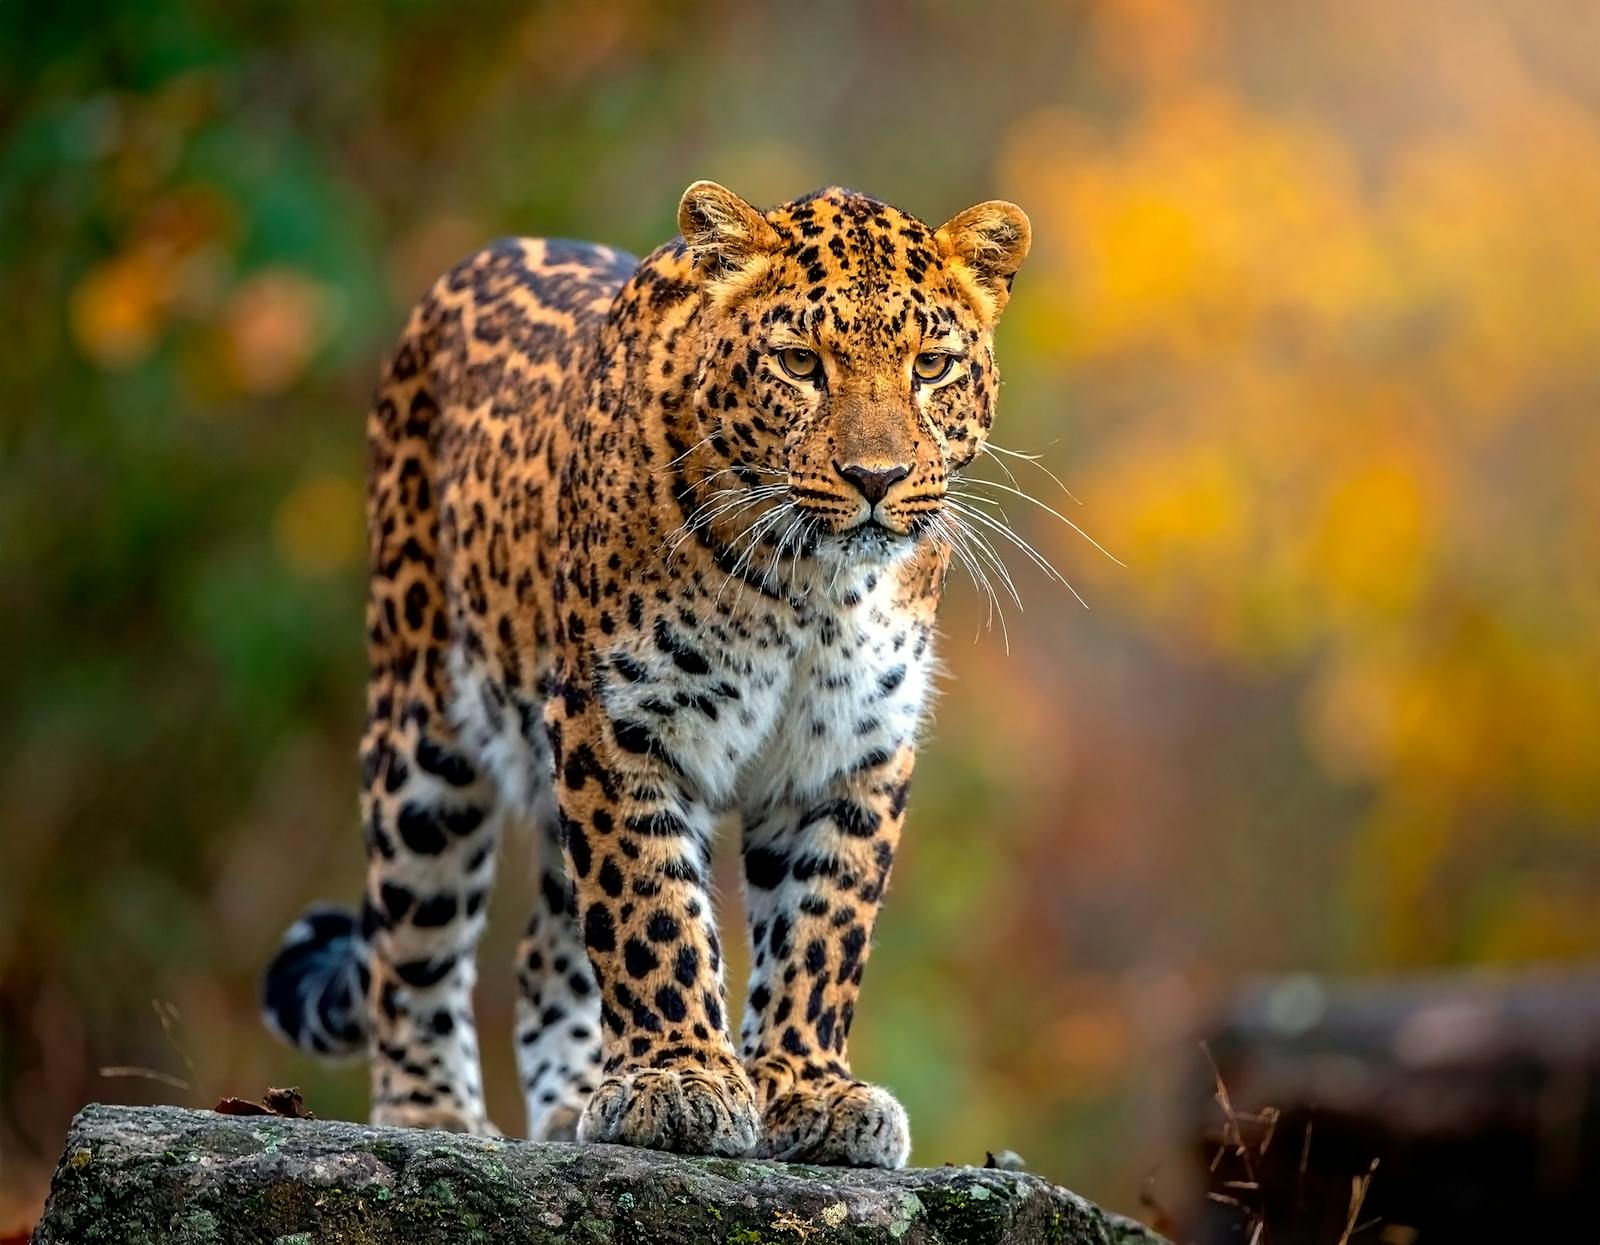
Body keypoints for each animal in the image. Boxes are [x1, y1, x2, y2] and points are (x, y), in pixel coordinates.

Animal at [262, 181, 1031, 1168]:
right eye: (800, 362)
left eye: (931, 366)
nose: (877, 476)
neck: (814, 584)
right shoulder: (617, 718)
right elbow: (648, 909)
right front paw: (680, 1077)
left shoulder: (852, 746)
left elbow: (823, 925)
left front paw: (808, 1087)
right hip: (424, 726)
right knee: (413, 936)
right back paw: (430, 1111)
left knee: (543, 951)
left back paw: (572, 1101)